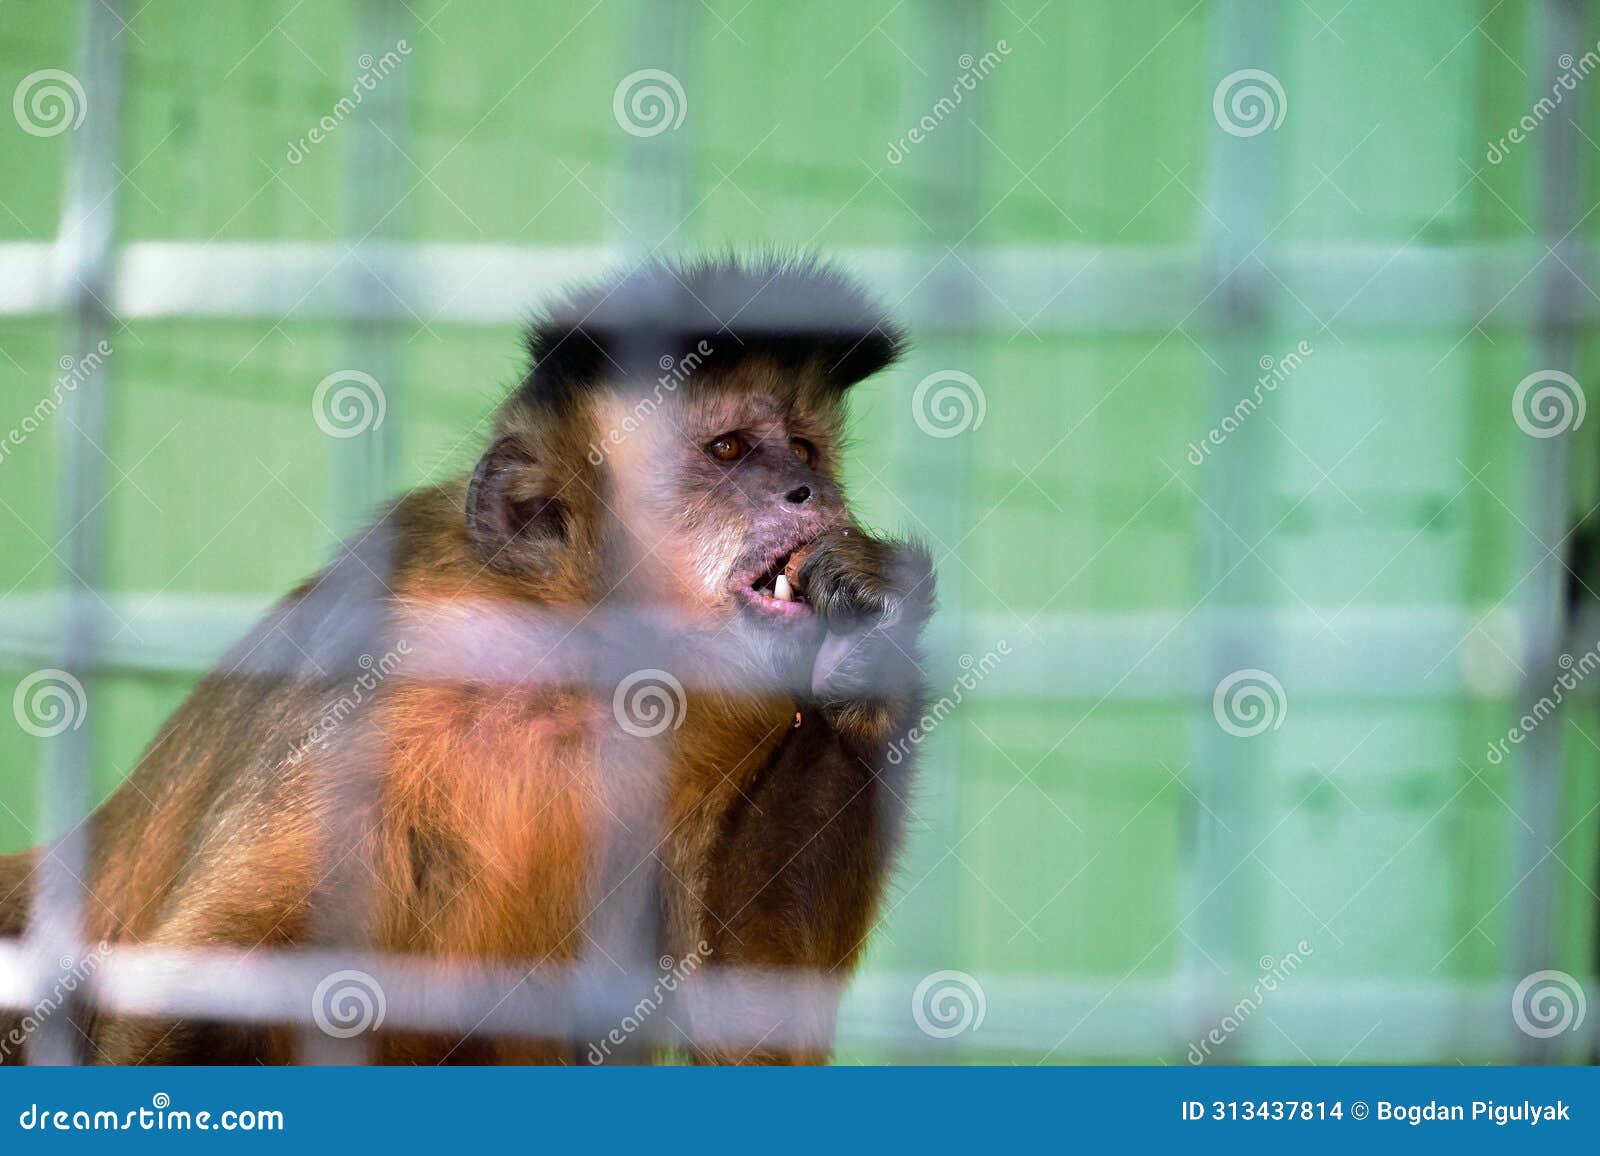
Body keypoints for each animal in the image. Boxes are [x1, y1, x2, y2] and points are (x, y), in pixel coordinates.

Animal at [0, 256, 934, 1065]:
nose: (813, 491)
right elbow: (212, 992)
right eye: (732, 451)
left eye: (804, 451)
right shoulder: (383, 667)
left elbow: (750, 1029)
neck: (575, 684)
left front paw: (871, 640)